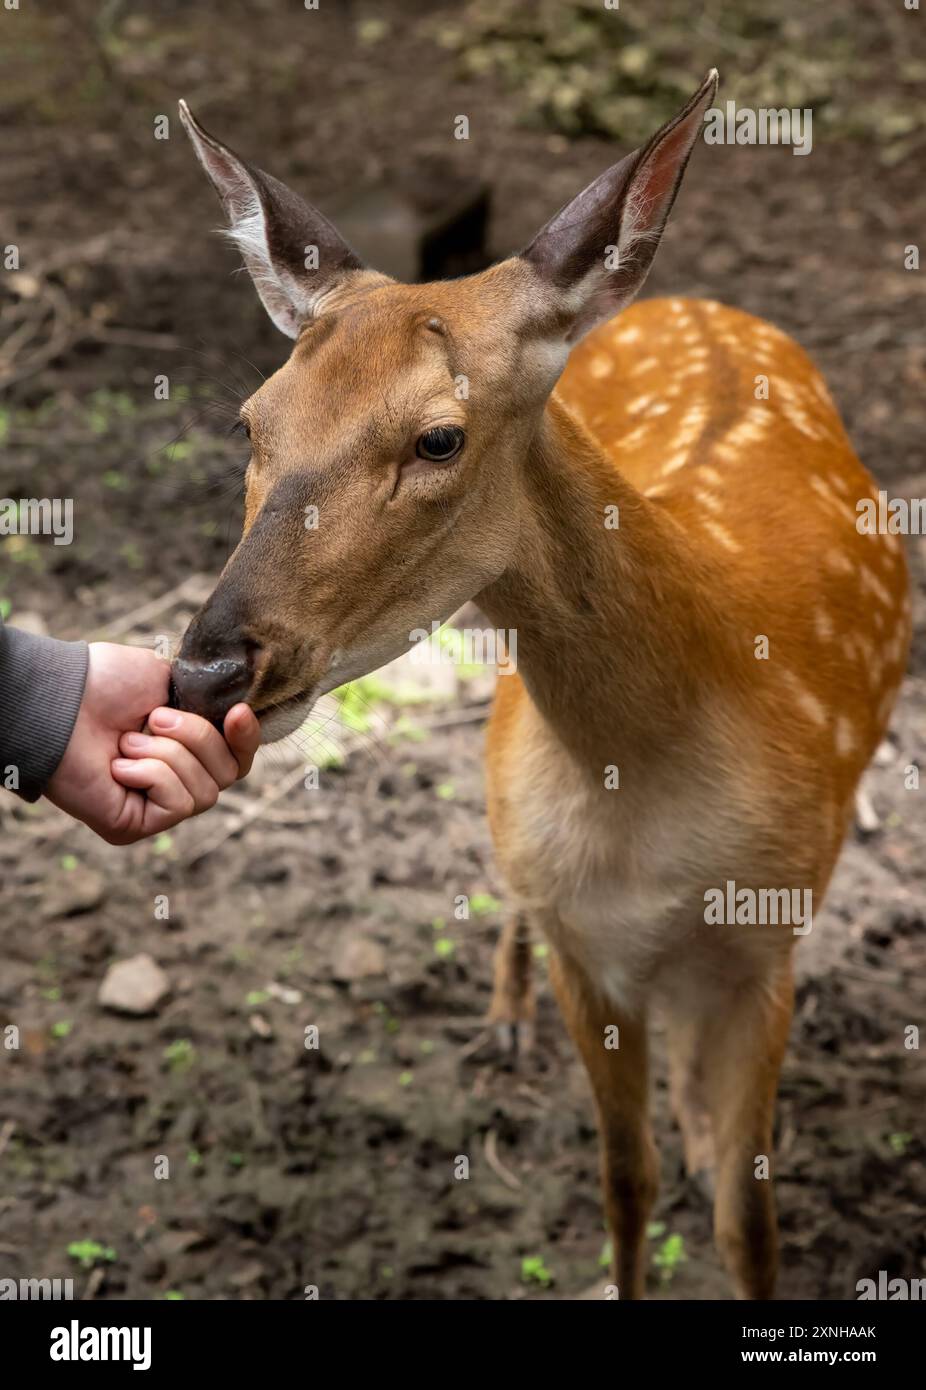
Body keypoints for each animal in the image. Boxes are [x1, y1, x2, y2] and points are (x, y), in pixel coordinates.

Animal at [172, 71, 911, 1300]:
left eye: (439, 438)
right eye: (250, 421)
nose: (207, 665)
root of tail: (691, 304)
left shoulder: (771, 942)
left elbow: (745, 1221)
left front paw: (713, 1156)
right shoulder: (585, 948)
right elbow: (623, 1187)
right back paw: (504, 1017)